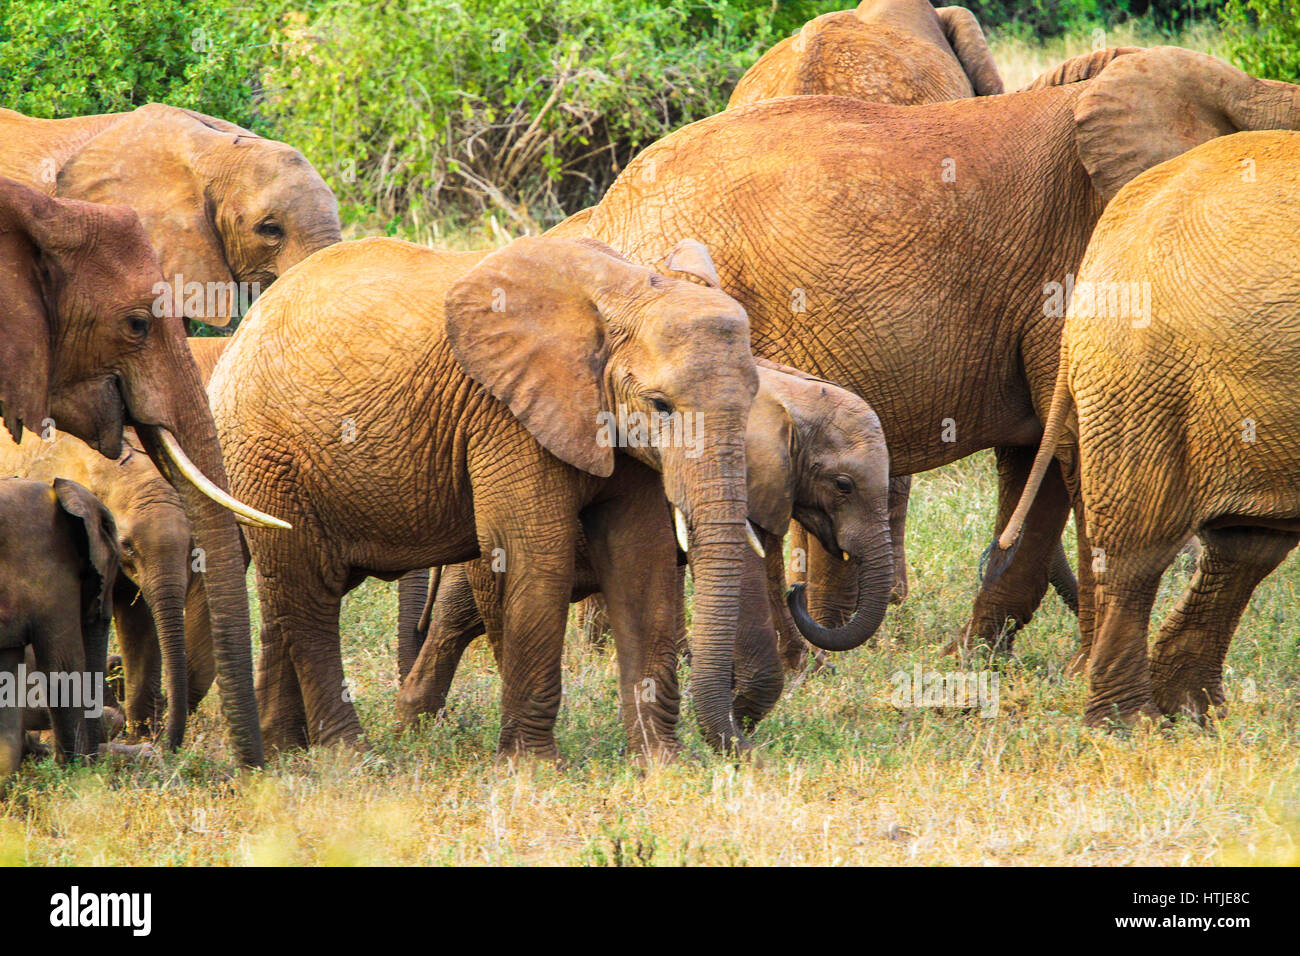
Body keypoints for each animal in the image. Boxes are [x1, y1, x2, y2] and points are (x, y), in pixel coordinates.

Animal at [210, 235, 772, 760]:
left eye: (753, 399)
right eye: (660, 406)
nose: (744, 749)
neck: (623, 287)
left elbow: (640, 560)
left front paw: (661, 764)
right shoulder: (506, 416)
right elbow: (534, 553)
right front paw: (533, 768)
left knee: (284, 592)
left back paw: (284, 752)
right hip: (267, 451)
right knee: (309, 595)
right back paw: (351, 757)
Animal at [395, 359, 896, 731]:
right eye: (844, 485)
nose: (799, 592)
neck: (791, 393)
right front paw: (739, 713)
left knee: (457, 618)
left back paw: (415, 724)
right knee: (462, 616)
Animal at [574, 46, 1300, 664]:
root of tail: (610, 209)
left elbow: (1035, 458)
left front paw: (975, 661)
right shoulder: (1082, 264)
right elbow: (1074, 448)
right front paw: (1070, 669)